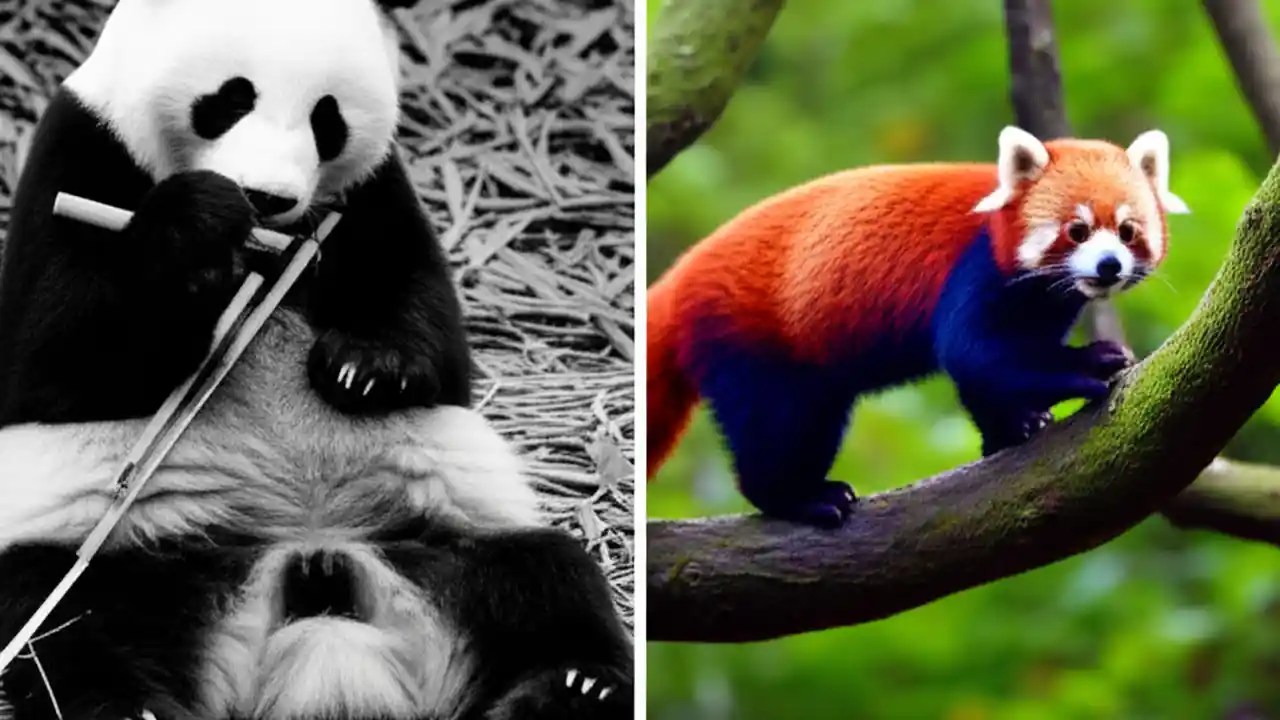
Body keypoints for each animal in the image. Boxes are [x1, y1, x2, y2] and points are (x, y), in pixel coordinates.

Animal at [0, 1, 633, 719]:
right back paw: (123, 705)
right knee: (63, 617)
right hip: (131, 554)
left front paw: (365, 368)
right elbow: (56, 365)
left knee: (546, 576)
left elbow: (433, 330)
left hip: (438, 545)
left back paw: (572, 685)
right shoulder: (81, 149)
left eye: (326, 120)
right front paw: (199, 225)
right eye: (230, 99)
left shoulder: (372, 187)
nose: (268, 198)